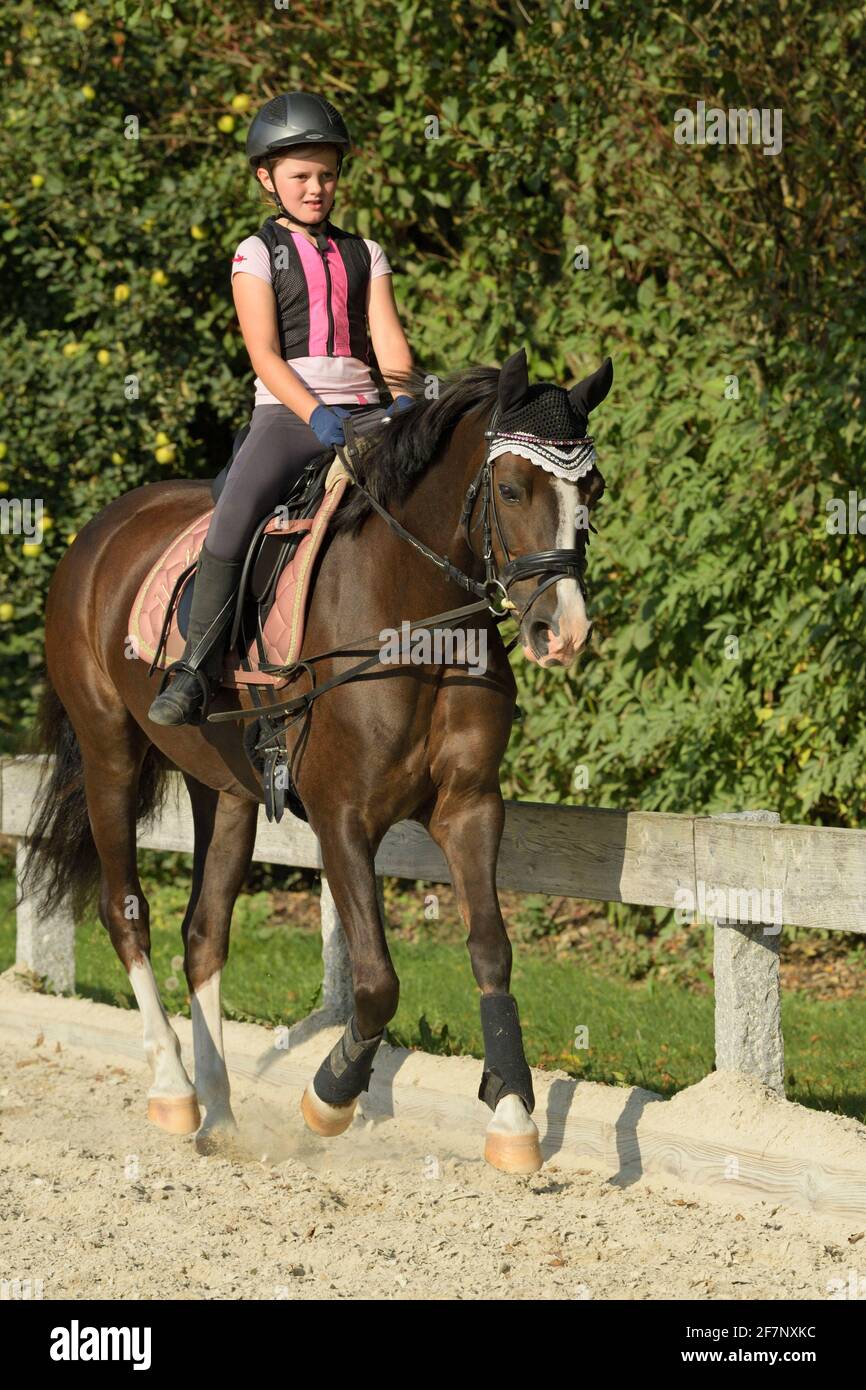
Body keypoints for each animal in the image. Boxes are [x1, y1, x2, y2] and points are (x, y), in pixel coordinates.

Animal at [19, 346, 612, 1175]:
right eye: (511, 487)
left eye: (593, 490)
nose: (564, 630)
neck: (414, 620)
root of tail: (100, 530)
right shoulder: (342, 818)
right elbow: (376, 982)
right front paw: (329, 1098)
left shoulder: (469, 807)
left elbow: (492, 951)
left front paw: (513, 1117)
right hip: (110, 755)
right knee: (124, 910)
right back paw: (174, 1091)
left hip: (225, 790)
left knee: (204, 934)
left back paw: (222, 1112)